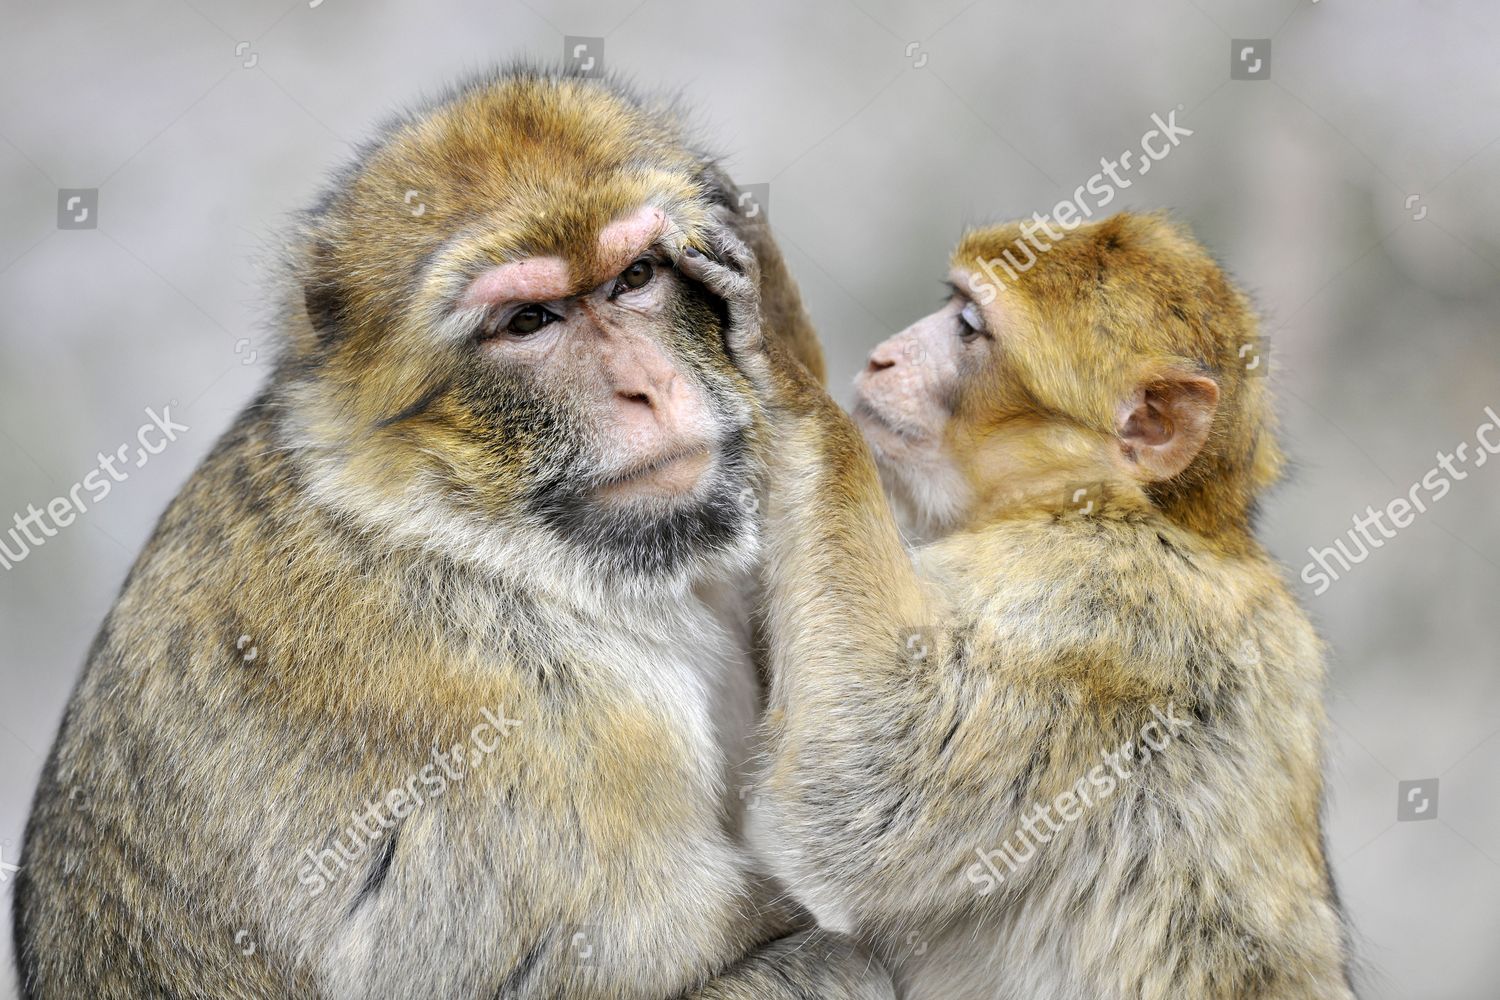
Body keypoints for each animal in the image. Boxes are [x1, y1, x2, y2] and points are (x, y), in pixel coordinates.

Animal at [12, 66, 893, 1000]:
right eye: (529, 321)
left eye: (636, 277)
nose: (647, 386)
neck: (467, 527)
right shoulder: (524, 715)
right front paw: (785, 377)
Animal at [677, 211, 1358, 999]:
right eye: (951, 301)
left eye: (969, 326)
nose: (884, 359)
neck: (1122, 508)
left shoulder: (1084, 610)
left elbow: (870, 774)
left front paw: (777, 361)